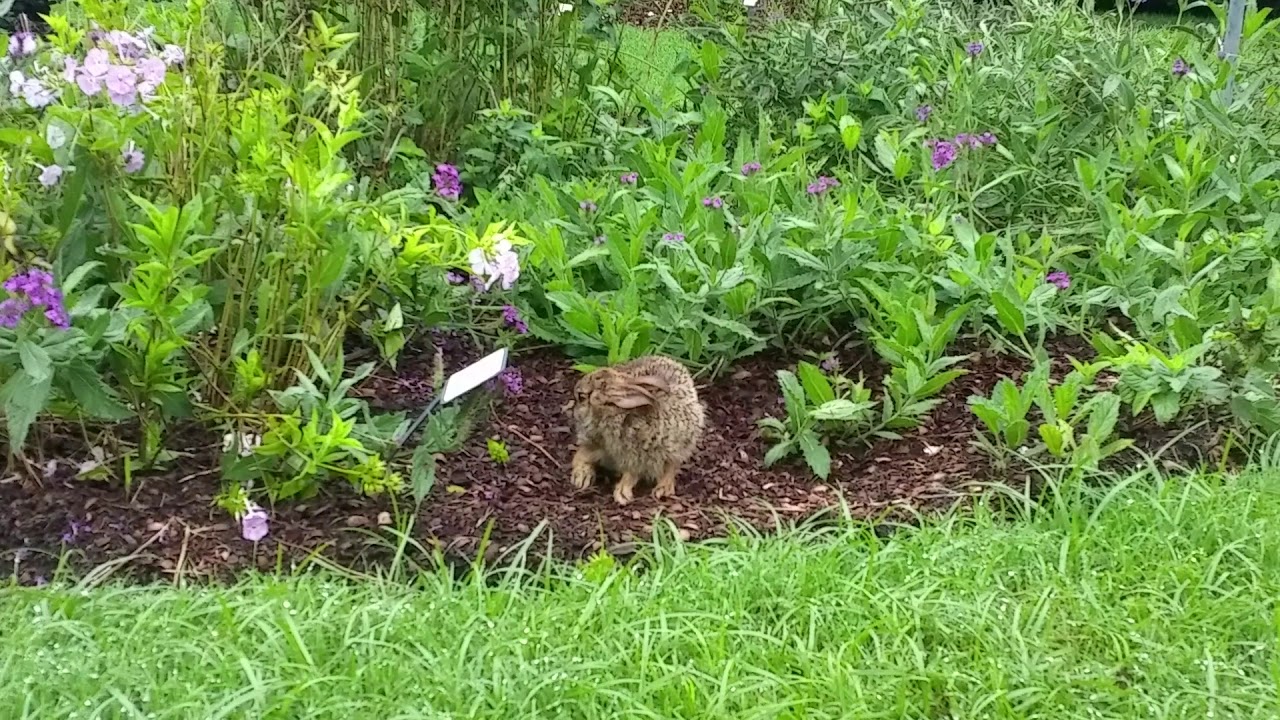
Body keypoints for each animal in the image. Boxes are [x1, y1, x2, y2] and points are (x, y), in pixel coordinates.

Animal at [569, 355, 705, 505]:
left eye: (581, 397)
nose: (575, 412)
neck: (615, 414)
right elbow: (581, 455)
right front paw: (581, 477)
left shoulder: (637, 457)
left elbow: (631, 474)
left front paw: (622, 493)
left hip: (681, 445)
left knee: (672, 465)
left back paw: (663, 489)